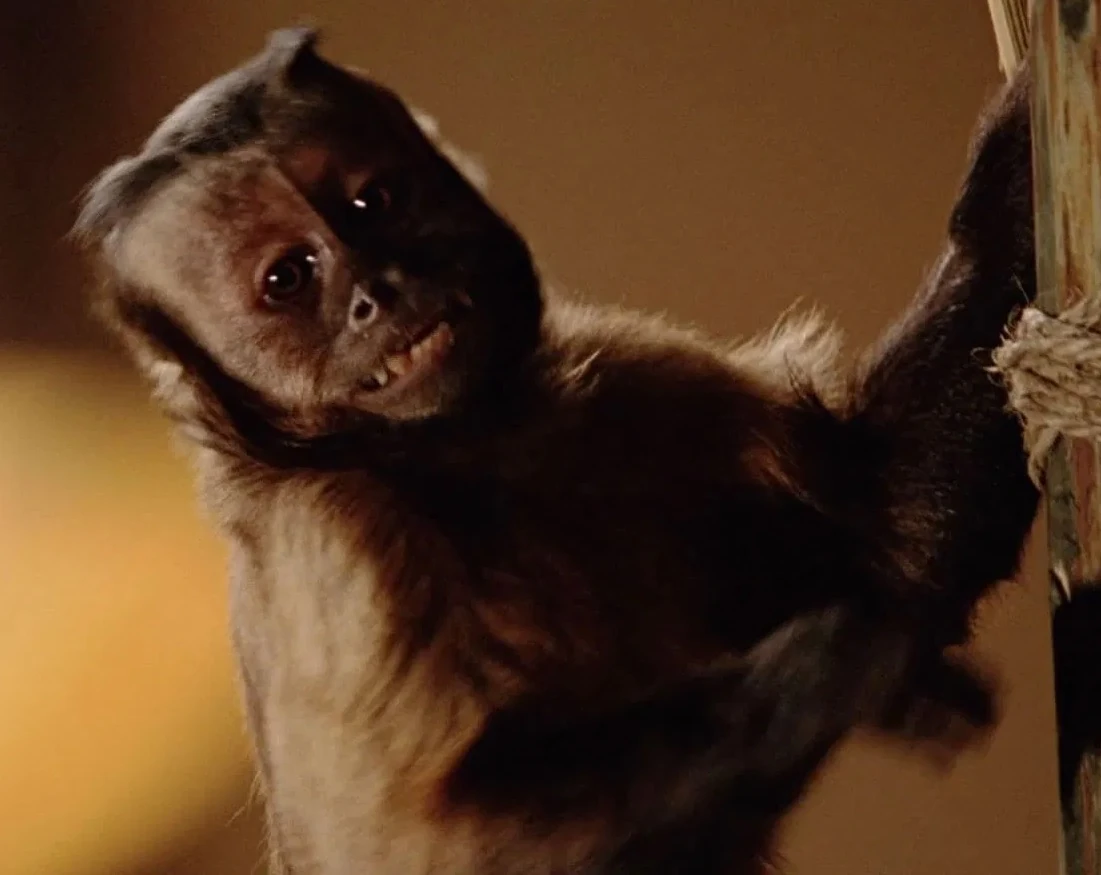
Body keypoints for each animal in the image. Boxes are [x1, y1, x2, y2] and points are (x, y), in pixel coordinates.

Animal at [72, 28, 1038, 875]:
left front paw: (1011, 192)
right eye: (287, 279)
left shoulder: (632, 378)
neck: (459, 452)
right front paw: (843, 663)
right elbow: (421, 849)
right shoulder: (334, 544)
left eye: (370, 201)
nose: (375, 290)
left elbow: (894, 533)